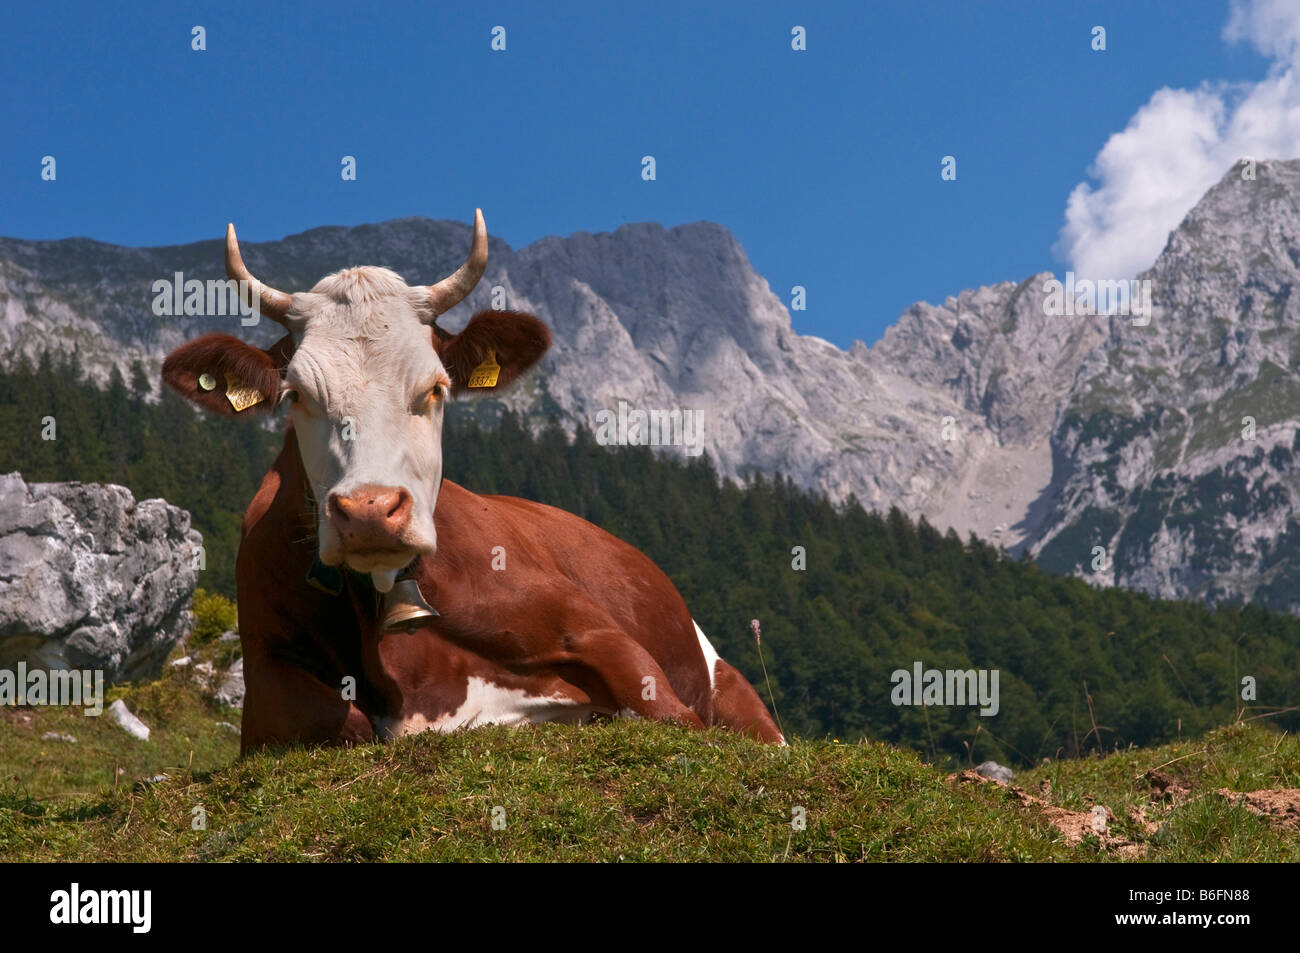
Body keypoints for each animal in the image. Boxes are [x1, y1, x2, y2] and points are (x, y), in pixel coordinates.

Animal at [162, 210, 785, 752]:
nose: (369, 511)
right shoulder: (266, 673)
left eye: (436, 387)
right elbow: (340, 722)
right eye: (295, 394)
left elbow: (673, 715)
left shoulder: (594, 632)